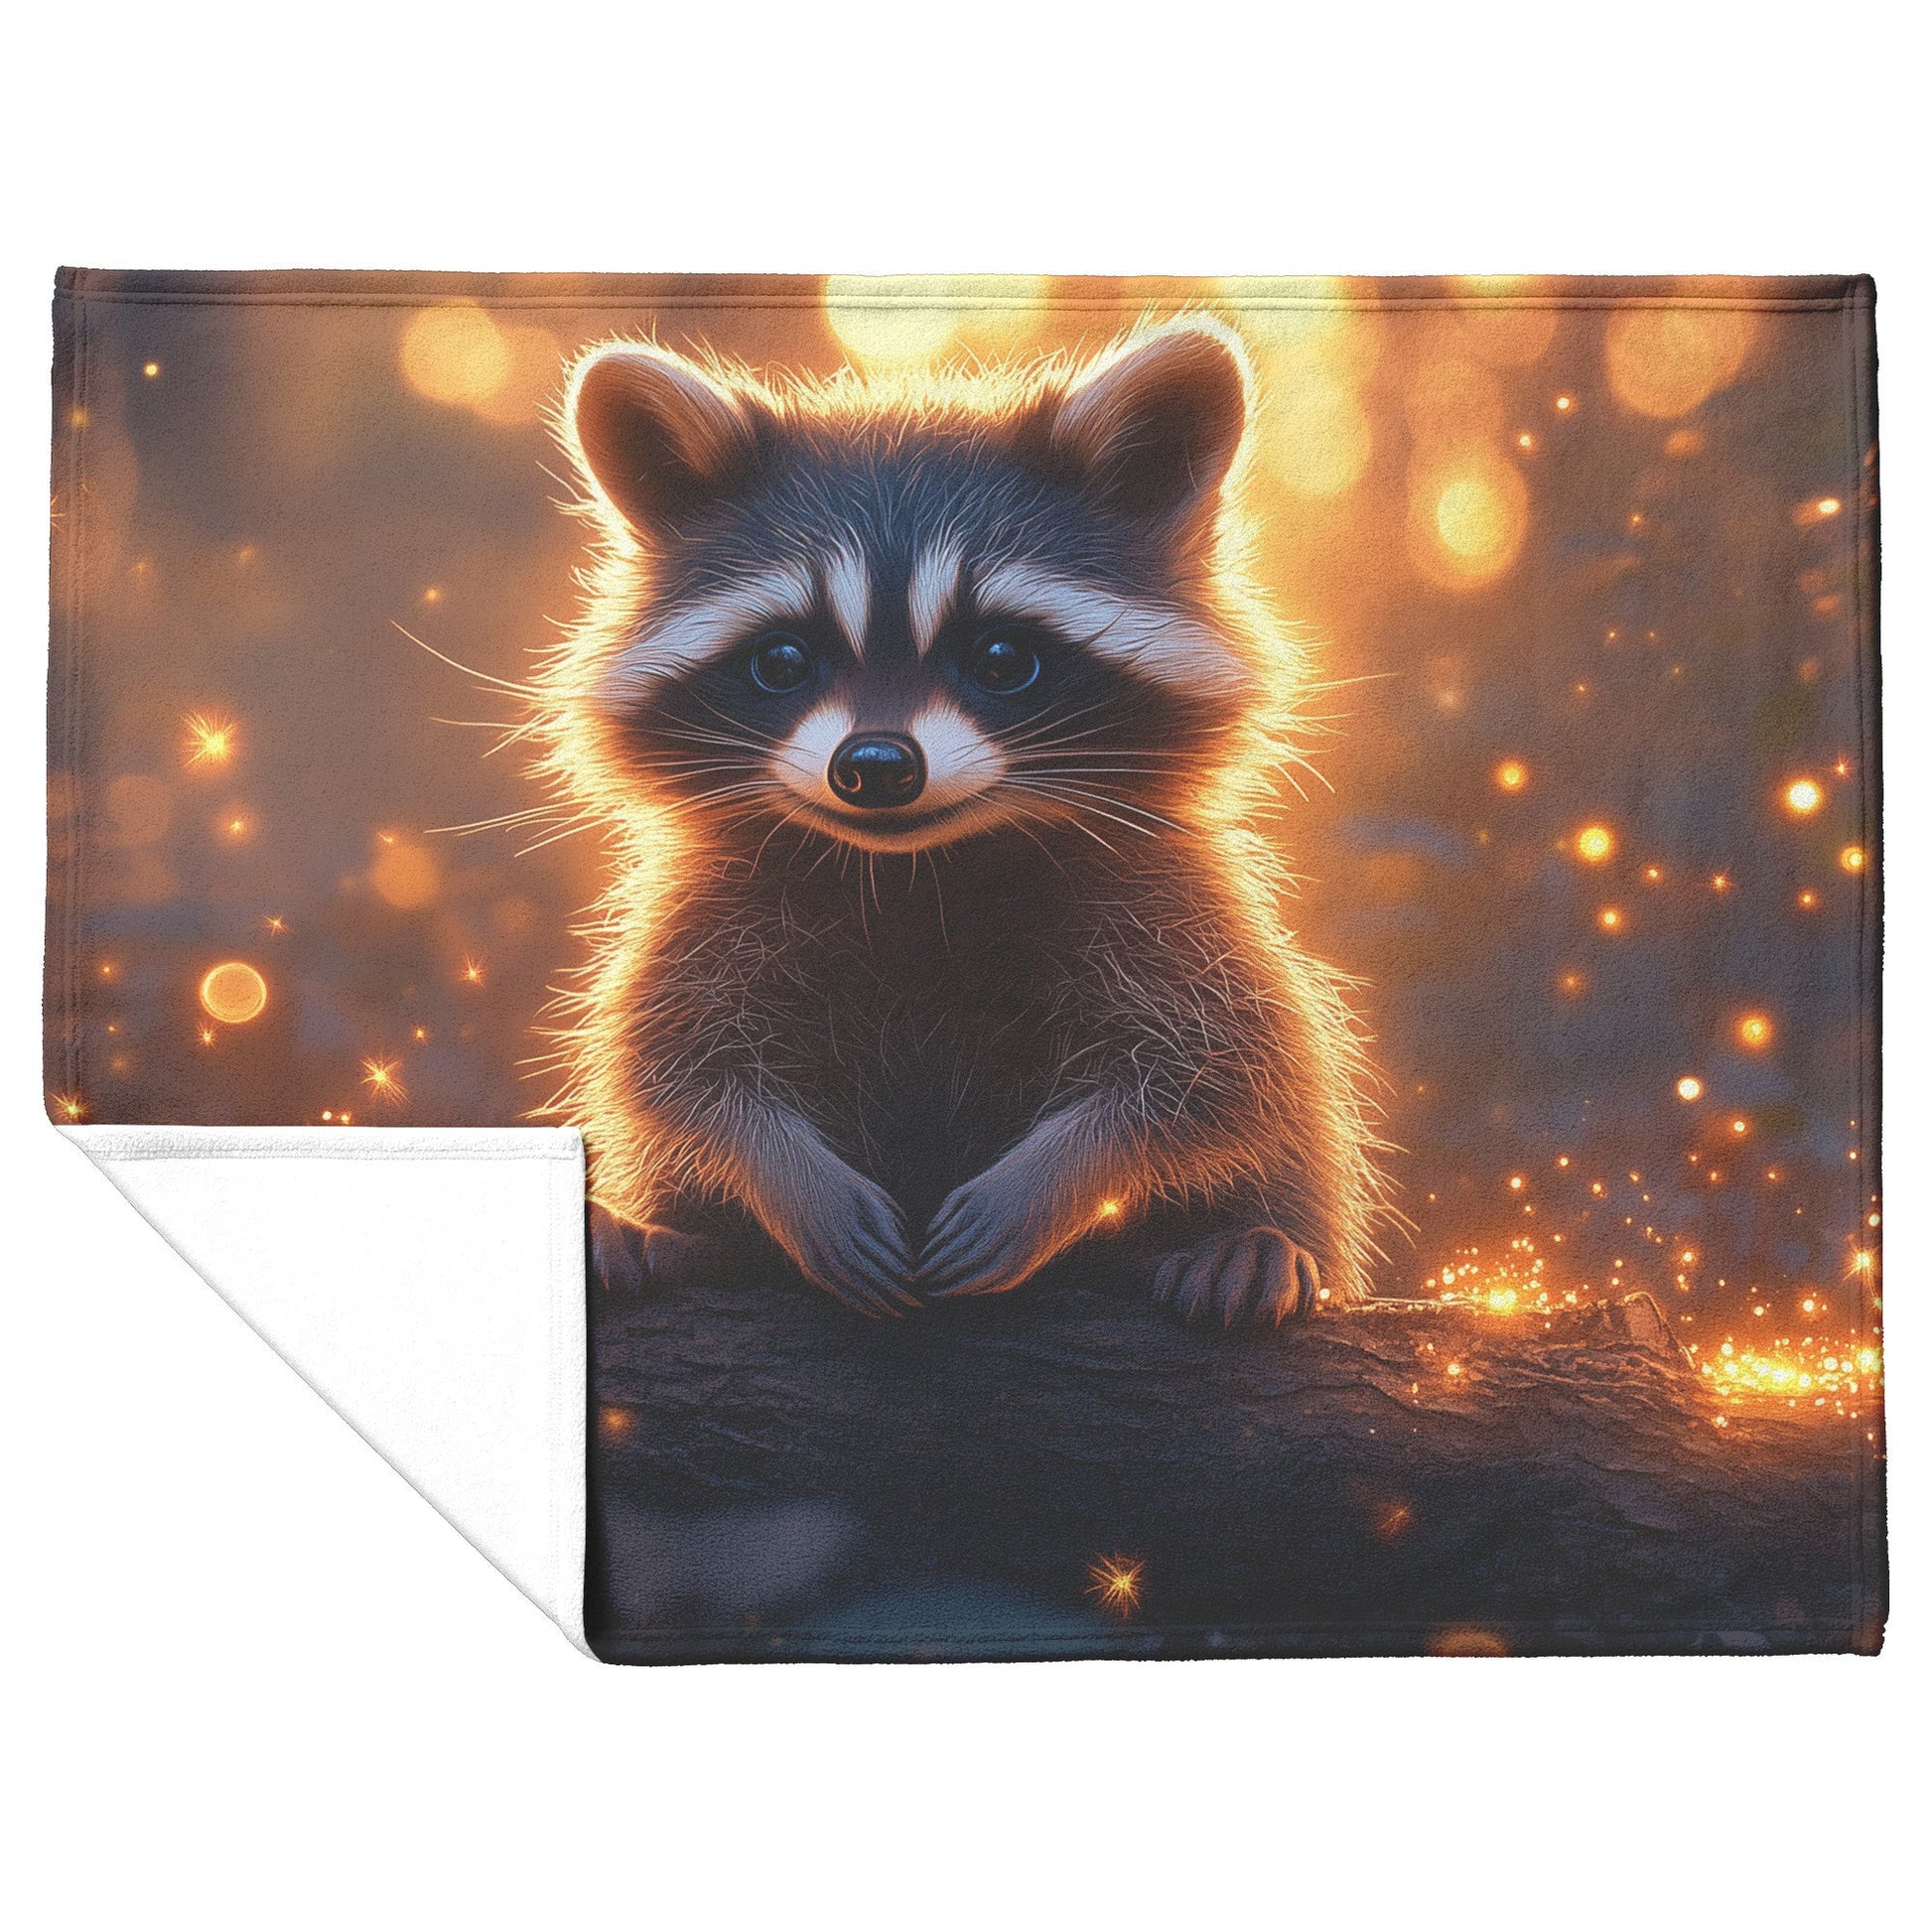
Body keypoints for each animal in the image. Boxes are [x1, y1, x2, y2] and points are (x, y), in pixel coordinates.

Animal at [536, 313, 1385, 1326]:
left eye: (1002, 659)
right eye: (783, 660)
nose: (874, 767)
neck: (919, 864)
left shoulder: (1166, 900)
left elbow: (1220, 1067)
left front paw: (1054, 1177)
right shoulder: (712, 909)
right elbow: (677, 1069)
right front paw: (790, 1176)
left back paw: (1243, 1243)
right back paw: (665, 1239)